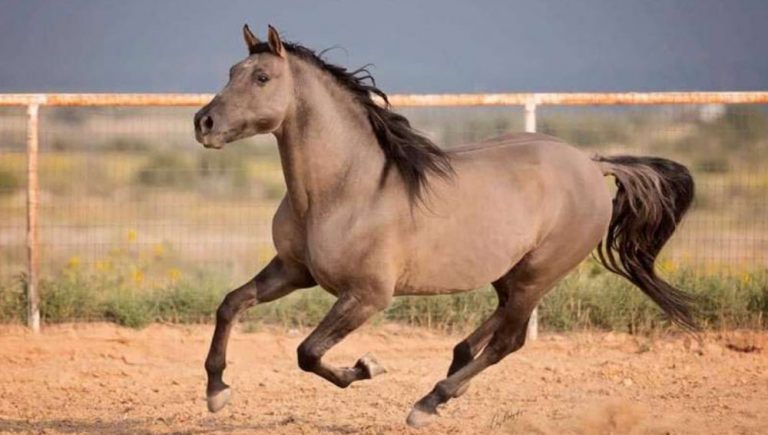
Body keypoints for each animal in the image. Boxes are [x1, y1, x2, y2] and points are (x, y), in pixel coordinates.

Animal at [193, 24, 696, 427]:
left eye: (261, 77)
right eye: (232, 71)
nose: (204, 122)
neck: (343, 190)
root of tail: (593, 165)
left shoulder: (367, 296)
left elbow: (308, 352)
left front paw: (367, 368)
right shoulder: (293, 271)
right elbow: (230, 304)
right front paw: (217, 392)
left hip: (539, 274)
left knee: (509, 340)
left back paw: (430, 402)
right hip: (509, 274)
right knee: (494, 327)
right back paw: (455, 371)